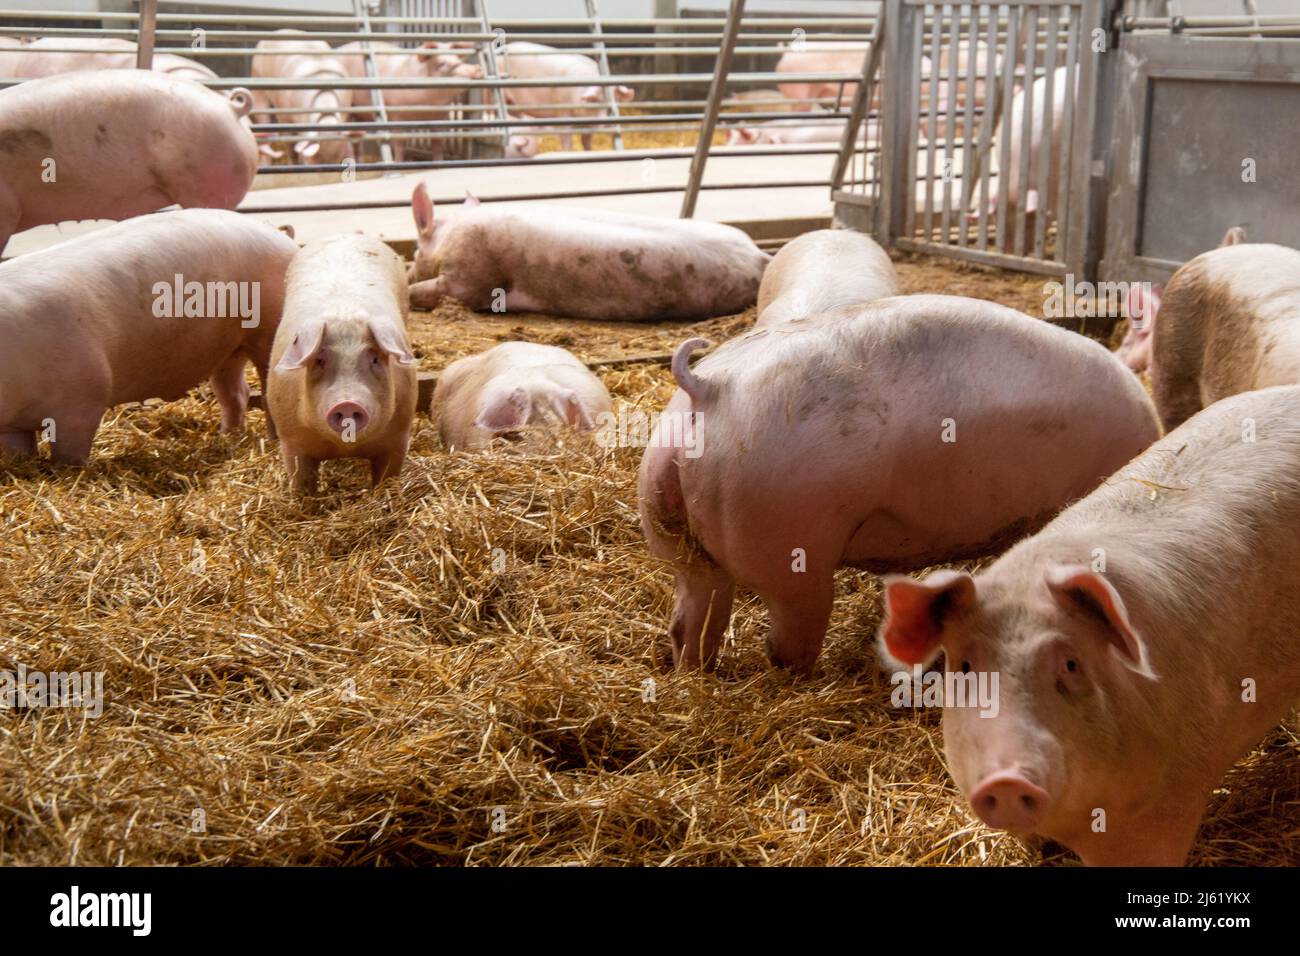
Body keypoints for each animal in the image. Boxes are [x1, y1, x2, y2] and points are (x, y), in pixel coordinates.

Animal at [0, 209, 296, 463]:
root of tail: (280, 236)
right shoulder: (14, 426)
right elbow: (19, 448)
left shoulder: (82, 401)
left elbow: (70, 454)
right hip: (229, 348)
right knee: (236, 392)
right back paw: (227, 436)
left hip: (266, 333)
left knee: (267, 390)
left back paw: (272, 439)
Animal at [266, 234, 418, 493]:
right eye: (319, 360)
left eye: (374, 358)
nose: (347, 402)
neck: (345, 448)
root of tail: (346, 234)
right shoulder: (291, 440)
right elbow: (300, 480)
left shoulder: (398, 437)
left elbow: (386, 476)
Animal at [336, 40, 482, 161]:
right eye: (442, 64)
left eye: (458, 59)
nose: (476, 69)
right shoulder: (397, 115)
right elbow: (400, 143)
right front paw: (399, 162)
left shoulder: (440, 116)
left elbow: (437, 143)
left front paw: (439, 163)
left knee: (358, 138)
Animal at [498, 41, 635, 151]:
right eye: (596, 100)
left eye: (616, 100)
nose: (609, 124)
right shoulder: (562, 112)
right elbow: (567, 140)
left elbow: (586, 141)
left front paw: (589, 151)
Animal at [638, 294, 1159, 672]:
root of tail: (708, 388)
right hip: (793, 554)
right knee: (784, 645)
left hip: (680, 540)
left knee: (690, 621)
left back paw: (696, 674)